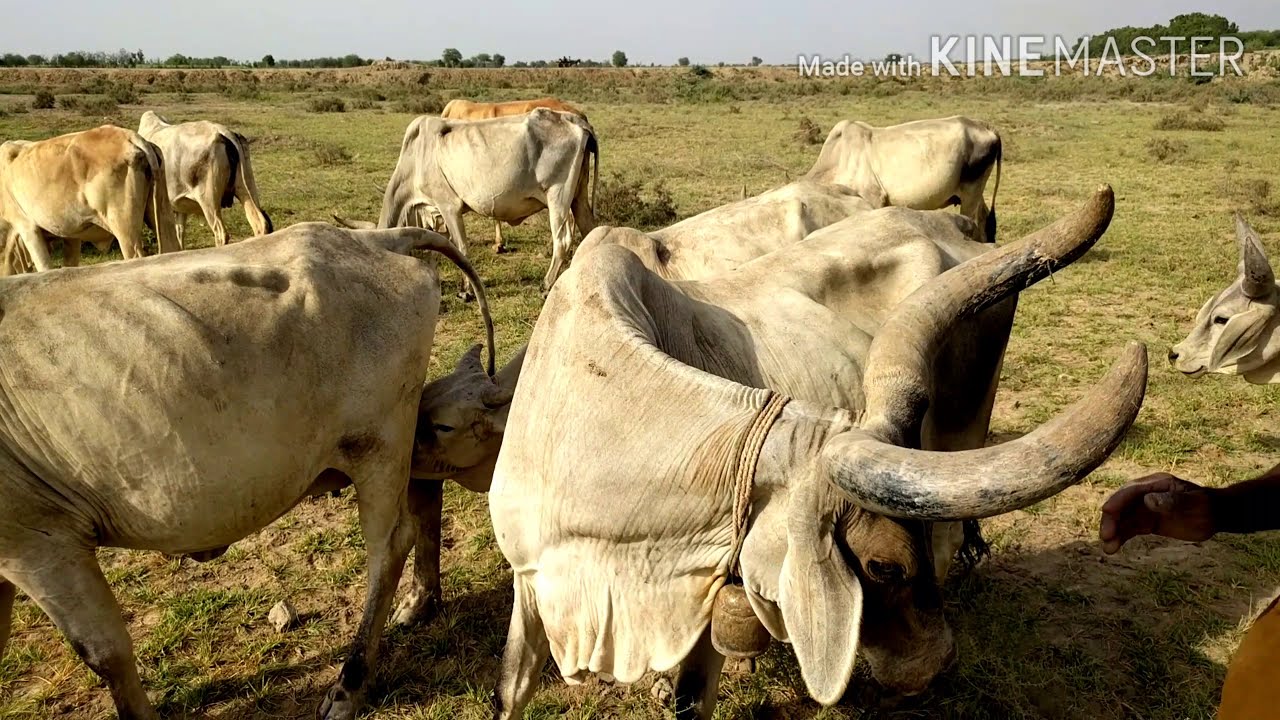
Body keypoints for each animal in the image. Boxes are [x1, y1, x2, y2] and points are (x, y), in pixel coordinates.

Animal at [0, 222, 495, 720]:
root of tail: (376, 238)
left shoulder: (40, 544)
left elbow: (105, 652)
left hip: (377, 444)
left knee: (389, 546)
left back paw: (349, 684)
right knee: (424, 501)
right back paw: (420, 602)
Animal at [138, 110, 273, 248]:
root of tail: (224, 132)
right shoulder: (179, 207)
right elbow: (179, 234)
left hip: (208, 198)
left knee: (220, 233)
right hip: (245, 186)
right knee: (260, 223)